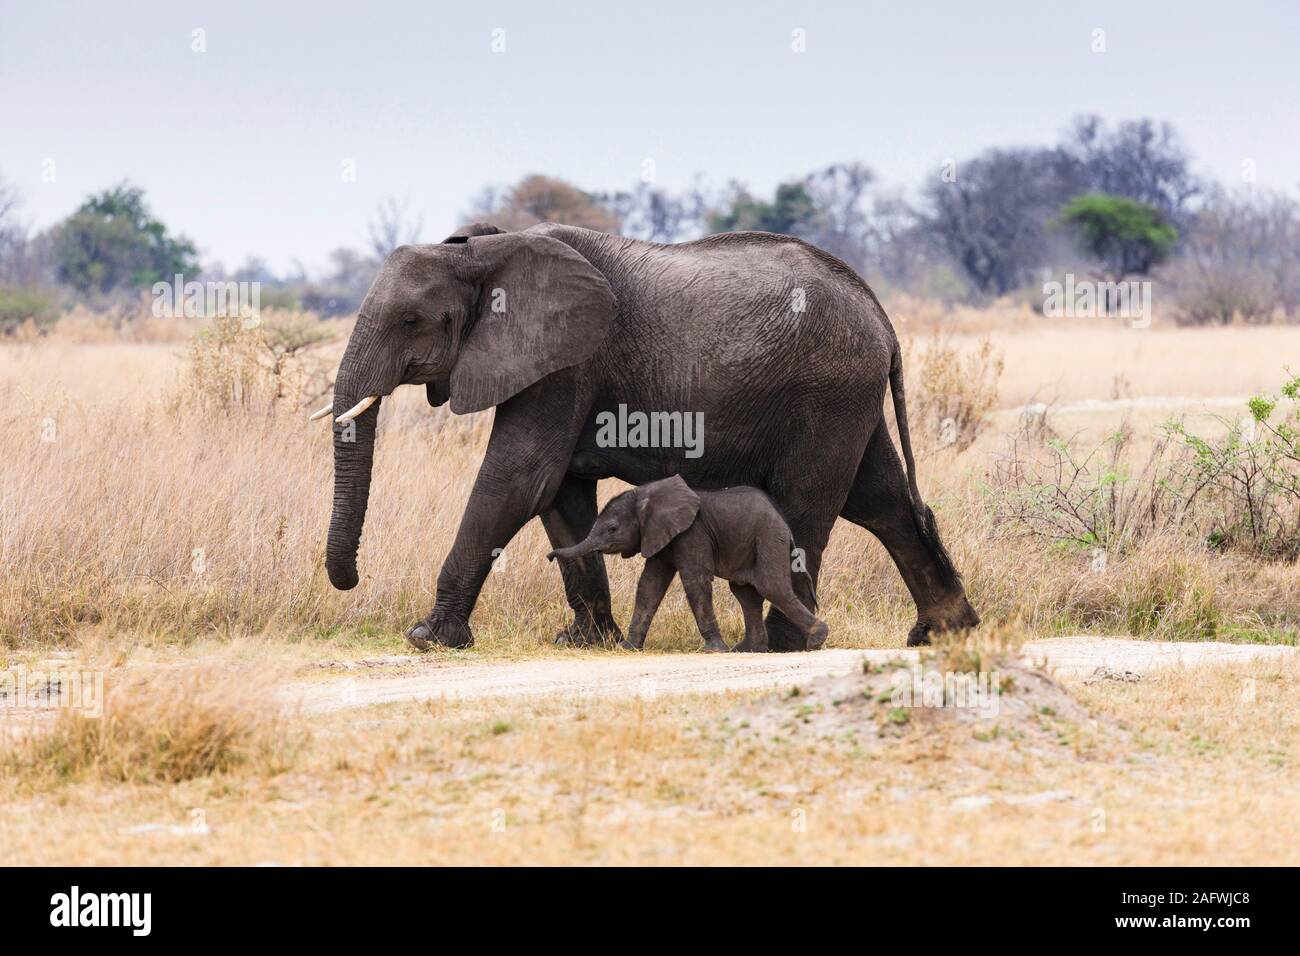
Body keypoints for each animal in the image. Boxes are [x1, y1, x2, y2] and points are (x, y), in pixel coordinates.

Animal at [546, 475, 829, 654]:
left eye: (613, 529)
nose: (549, 556)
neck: (646, 494)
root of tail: (785, 525)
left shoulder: (693, 533)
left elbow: (694, 580)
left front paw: (713, 651)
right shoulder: (660, 536)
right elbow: (650, 585)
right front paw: (627, 648)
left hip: (768, 536)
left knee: (772, 587)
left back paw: (817, 640)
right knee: (746, 593)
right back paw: (748, 649)